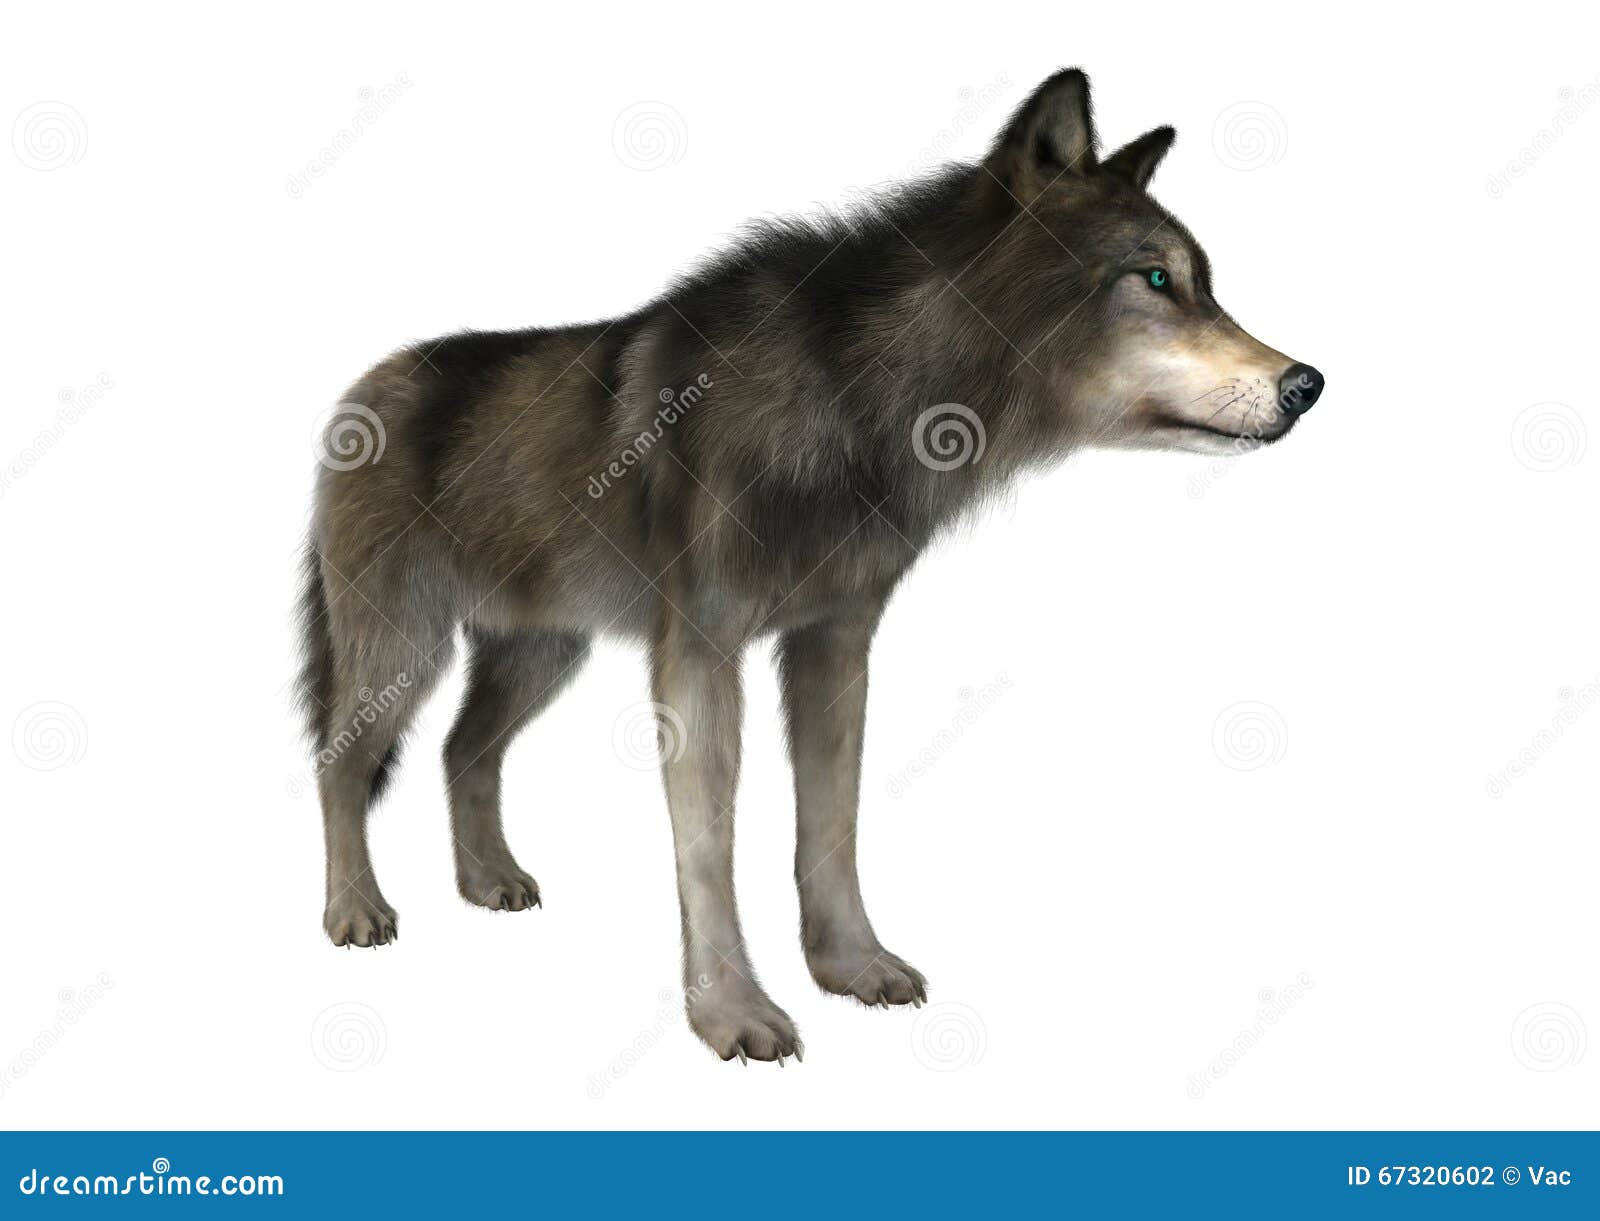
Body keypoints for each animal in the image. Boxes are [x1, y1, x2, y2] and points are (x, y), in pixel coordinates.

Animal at [298, 68, 1324, 1063]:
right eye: (1155, 278)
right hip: (404, 652)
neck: (854, 396)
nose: (1308, 383)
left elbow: (832, 826)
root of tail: (361, 389)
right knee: (340, 763)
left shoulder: (836, 642)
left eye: (1204, 284)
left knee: (461, 749)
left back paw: (489, 881)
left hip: (542, 654)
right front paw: (731, 1015)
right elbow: (709, 850)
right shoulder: (701, 652)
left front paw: (851, 967)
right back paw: (354, 910)